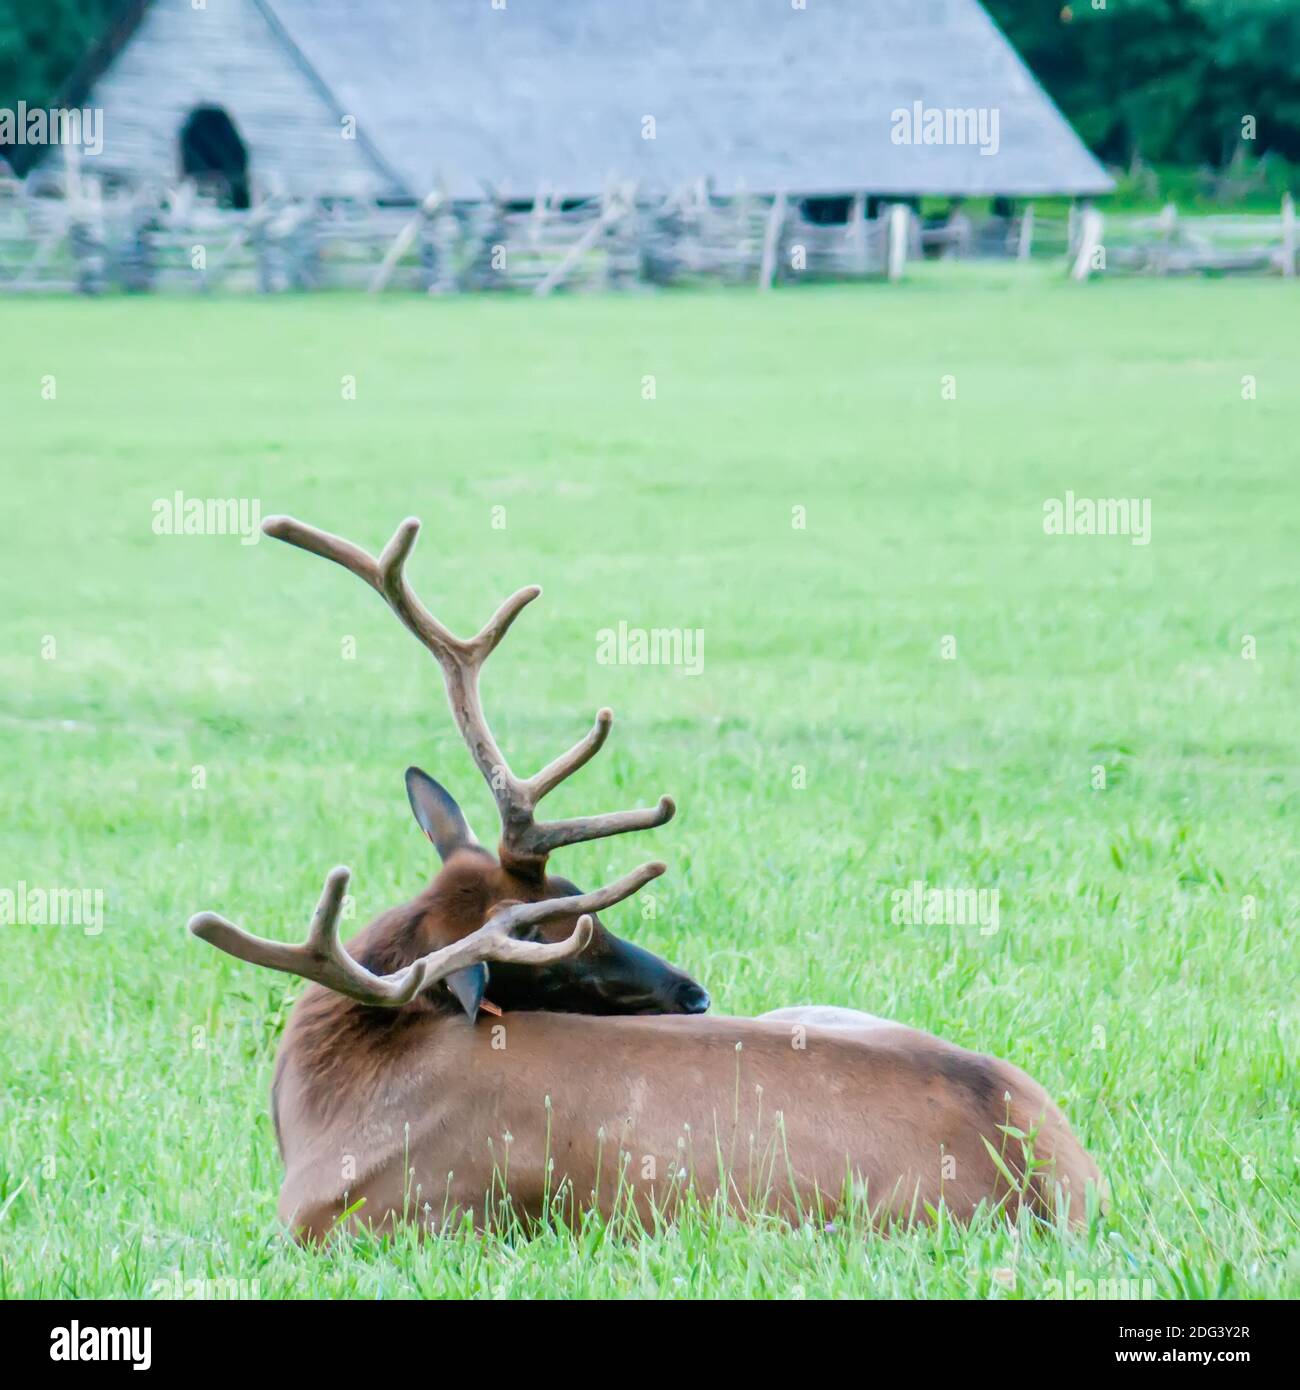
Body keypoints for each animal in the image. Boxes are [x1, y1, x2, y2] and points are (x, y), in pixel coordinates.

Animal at [190, 514, 1103, 1243]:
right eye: (556, 935)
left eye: (575, 907)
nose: (696, 997)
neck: (328, 1101)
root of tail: (1050, 1180)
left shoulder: (372, 1220)